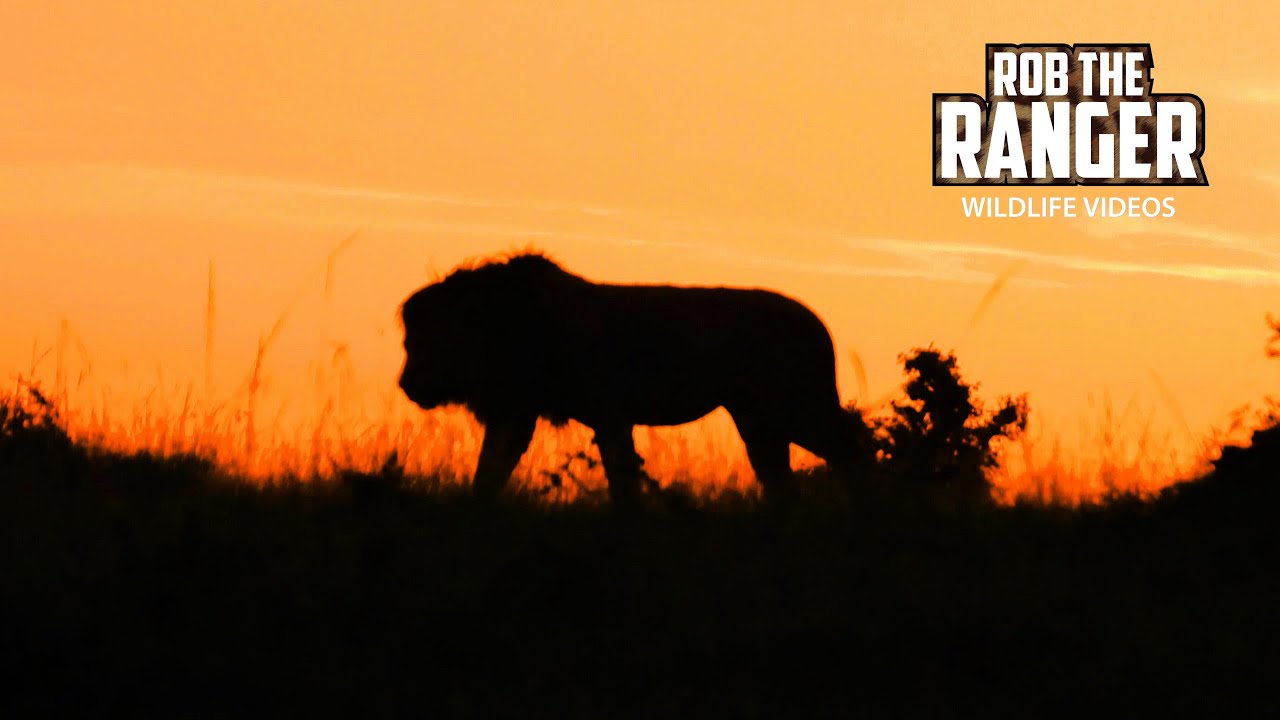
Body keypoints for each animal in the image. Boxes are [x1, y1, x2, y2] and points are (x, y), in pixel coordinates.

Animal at [397, 252, 868, 503]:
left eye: (427, 341)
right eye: (409, 342)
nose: (406, 384)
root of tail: (818, 326)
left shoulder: (608, 414)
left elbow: (623, 481)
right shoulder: (515, 413)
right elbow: (489, 471)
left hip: (795, 407)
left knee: (853, 442)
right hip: (758, 421)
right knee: (781, 477)